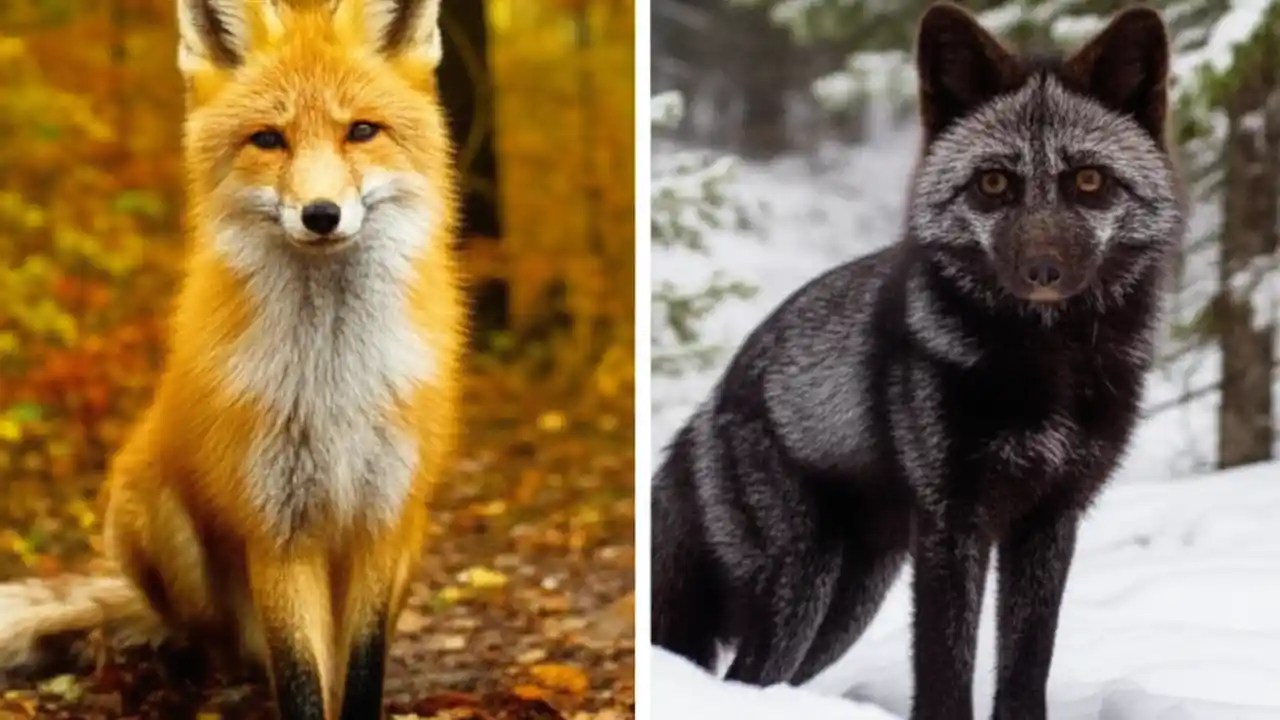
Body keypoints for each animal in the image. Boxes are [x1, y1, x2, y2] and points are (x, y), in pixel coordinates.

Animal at [0, 1, 461, 718]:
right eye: (268, 140)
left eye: (362, 131)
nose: (321, 214)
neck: (331, 380)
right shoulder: (276, 525)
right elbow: (299, 679)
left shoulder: (382, 518)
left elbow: (359, 674)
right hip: (143, 510)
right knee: (211, 639)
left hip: (413, 535)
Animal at [652, 4, 1184, 719]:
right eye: (994, 183)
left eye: (1089, 181)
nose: (1042, 270)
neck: (1046, 368)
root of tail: (711, 405)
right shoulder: (950, 521)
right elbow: (943, 667)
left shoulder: (1049, 521)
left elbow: (1025, 667)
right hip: (804, 590)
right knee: (746, 677)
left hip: (847, 606)